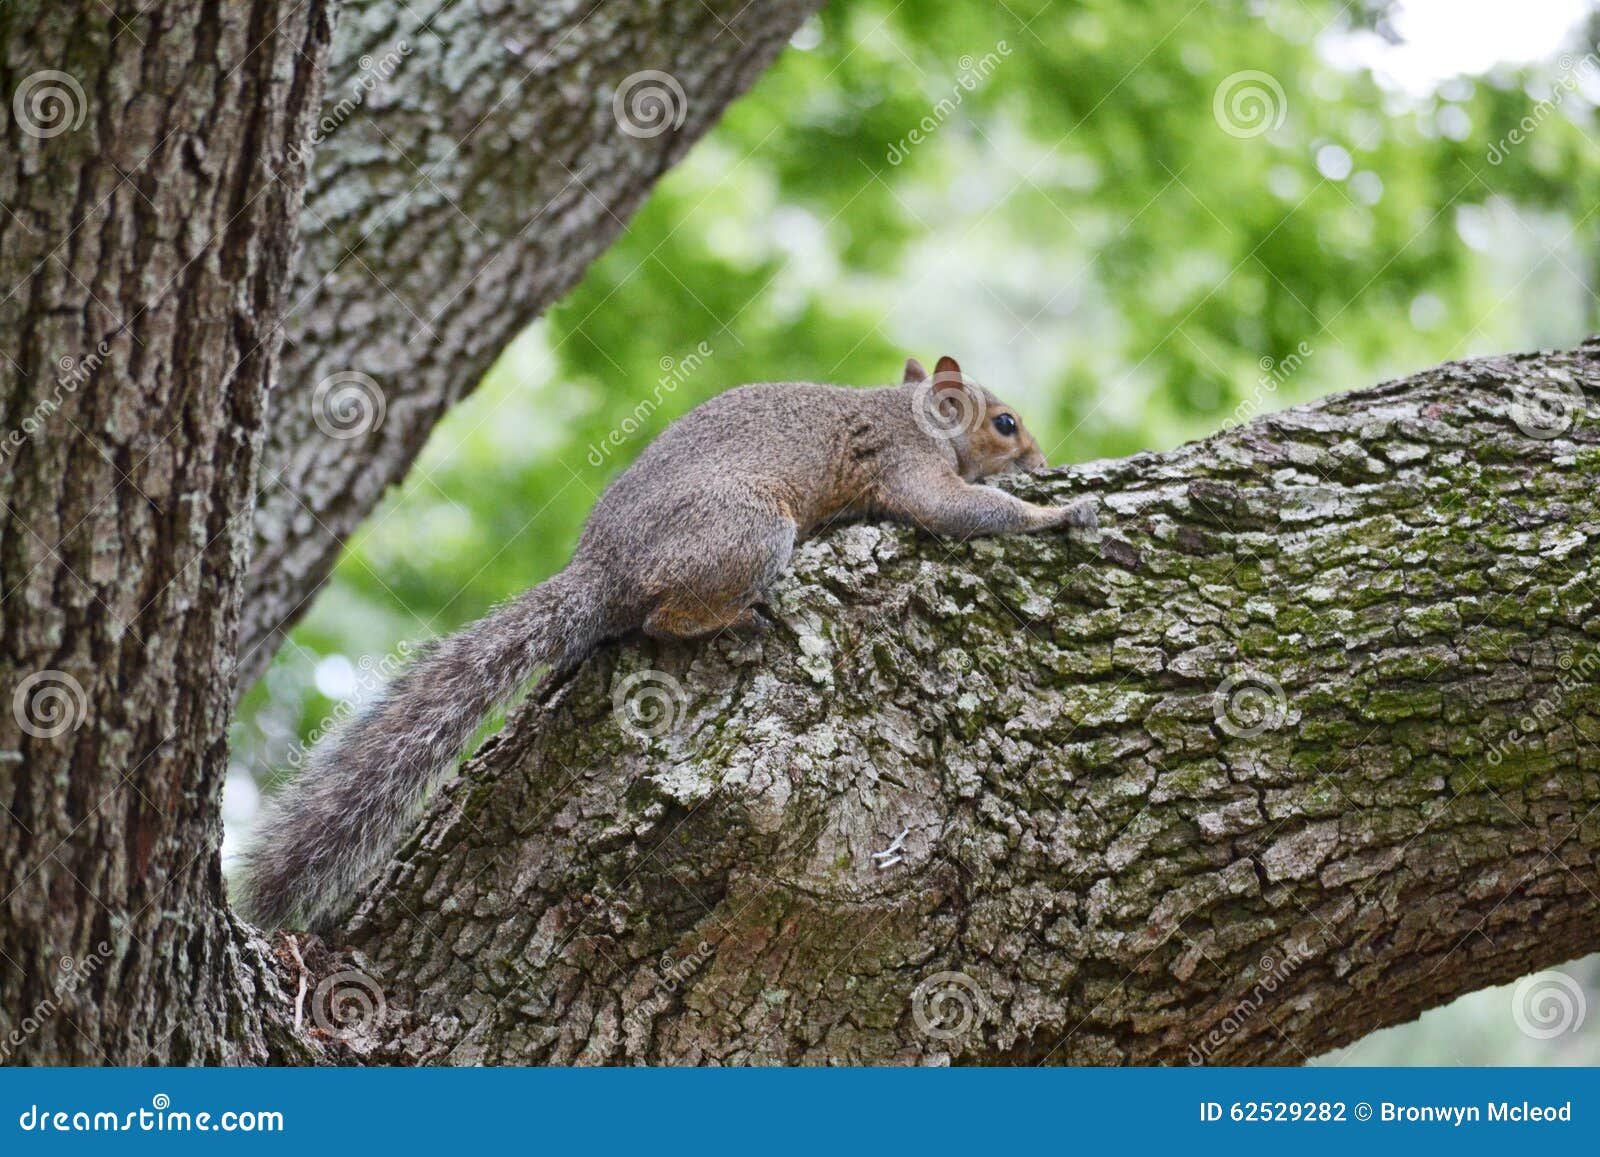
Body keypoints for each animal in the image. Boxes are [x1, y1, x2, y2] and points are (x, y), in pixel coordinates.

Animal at [238, 355, 1098, 929]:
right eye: (1005, 423)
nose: (1043, 461)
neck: (910, 409)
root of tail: (603, 570)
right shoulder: (904, 460)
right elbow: (957, 508)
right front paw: (1056, 511)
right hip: (747, 532)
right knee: (661, 620)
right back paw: (738, 621)